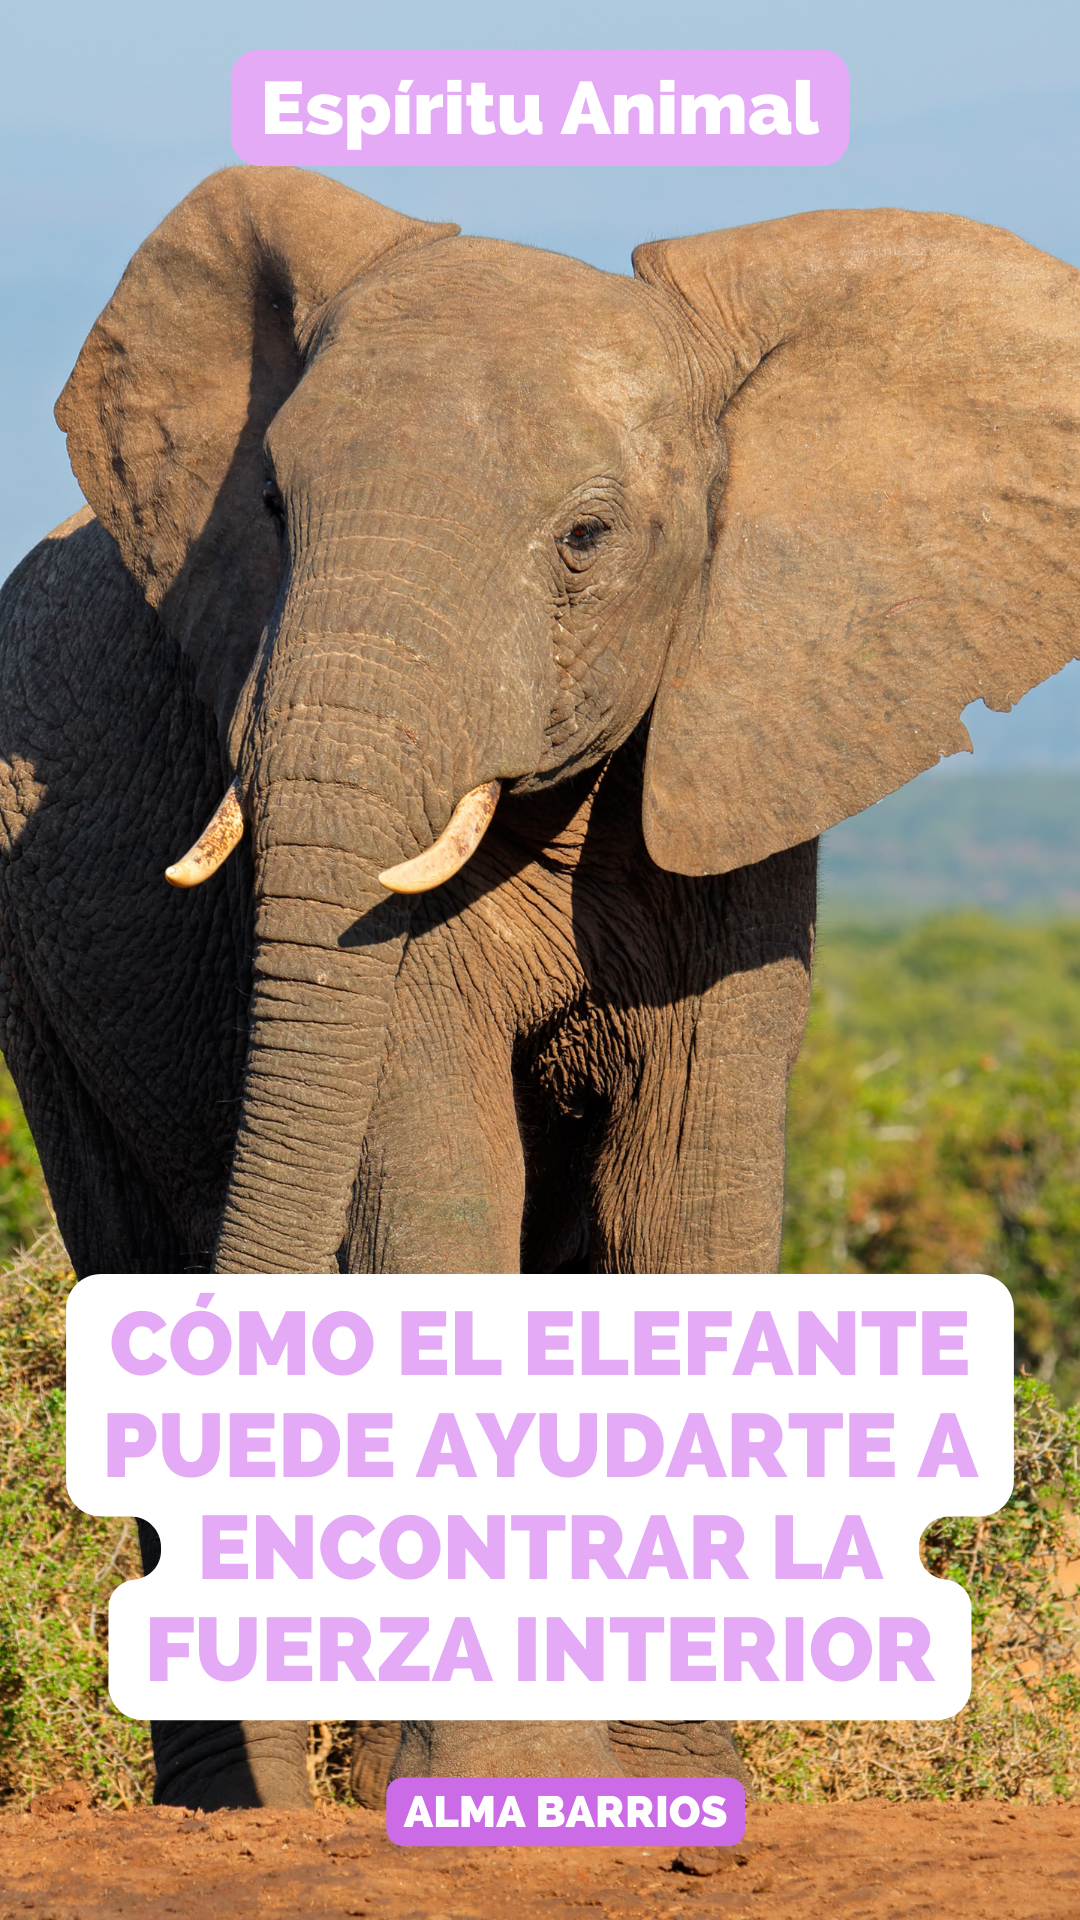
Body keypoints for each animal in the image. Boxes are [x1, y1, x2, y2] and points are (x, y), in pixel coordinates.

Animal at [1, 166, 1078, 1811]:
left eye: (586, 538)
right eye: (272, 511)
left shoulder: (741, 750)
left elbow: (684, 1180)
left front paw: (657, 1783)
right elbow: (437, 1168)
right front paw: (499, 1785)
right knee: (125, 1250)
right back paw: (226, 1805)